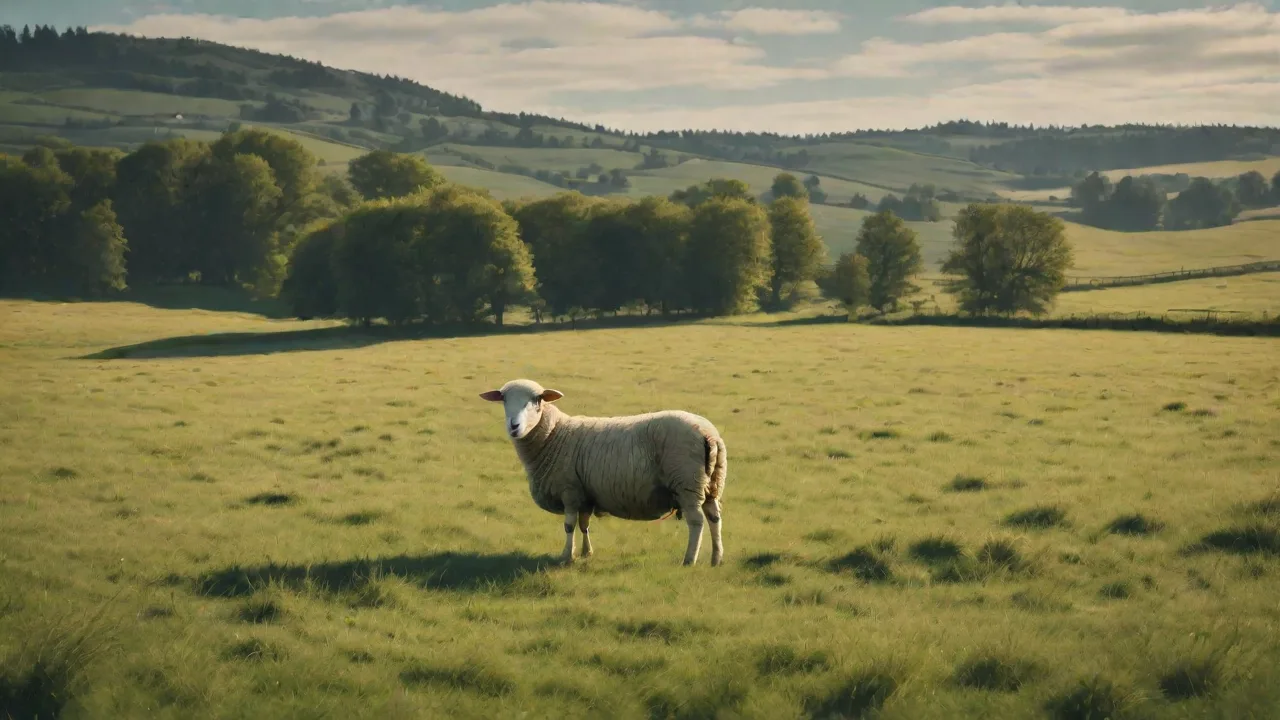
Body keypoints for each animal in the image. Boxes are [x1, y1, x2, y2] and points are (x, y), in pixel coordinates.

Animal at [479, 378, 727, 567]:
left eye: (537, 400)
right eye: (504, 399)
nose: (514, 426)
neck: (554, 434)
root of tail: (709, 434)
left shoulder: (569, 490)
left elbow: (569, 526)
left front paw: (566, 557)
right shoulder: (585, 493)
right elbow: (584, 524)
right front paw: (586, 553)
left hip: (687, 483)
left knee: (697, 521)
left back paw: (689, 560)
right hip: (711, 482)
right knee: (714, 518)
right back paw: (716, 558)